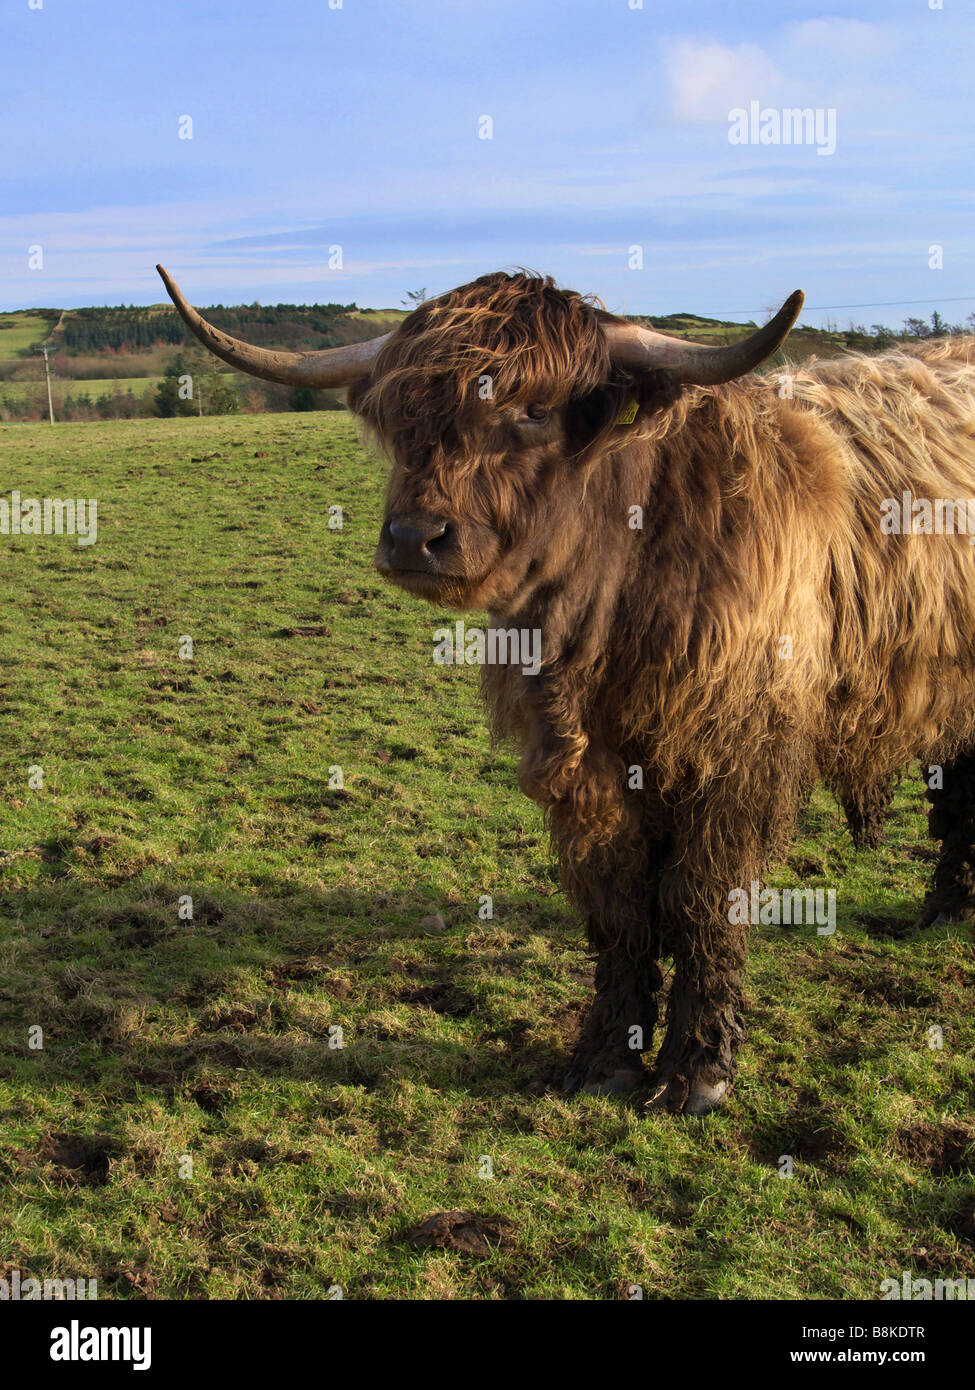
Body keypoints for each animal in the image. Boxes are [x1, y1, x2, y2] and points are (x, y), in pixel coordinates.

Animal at [157, 264, 975, 1115]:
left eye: (534, 410)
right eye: (403, 412)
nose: (414, 538)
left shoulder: (735, 753)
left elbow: (700, 900)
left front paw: (697, 1070)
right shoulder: (584, 765)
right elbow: (618, 907)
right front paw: (607, 1057)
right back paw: (946, 912)